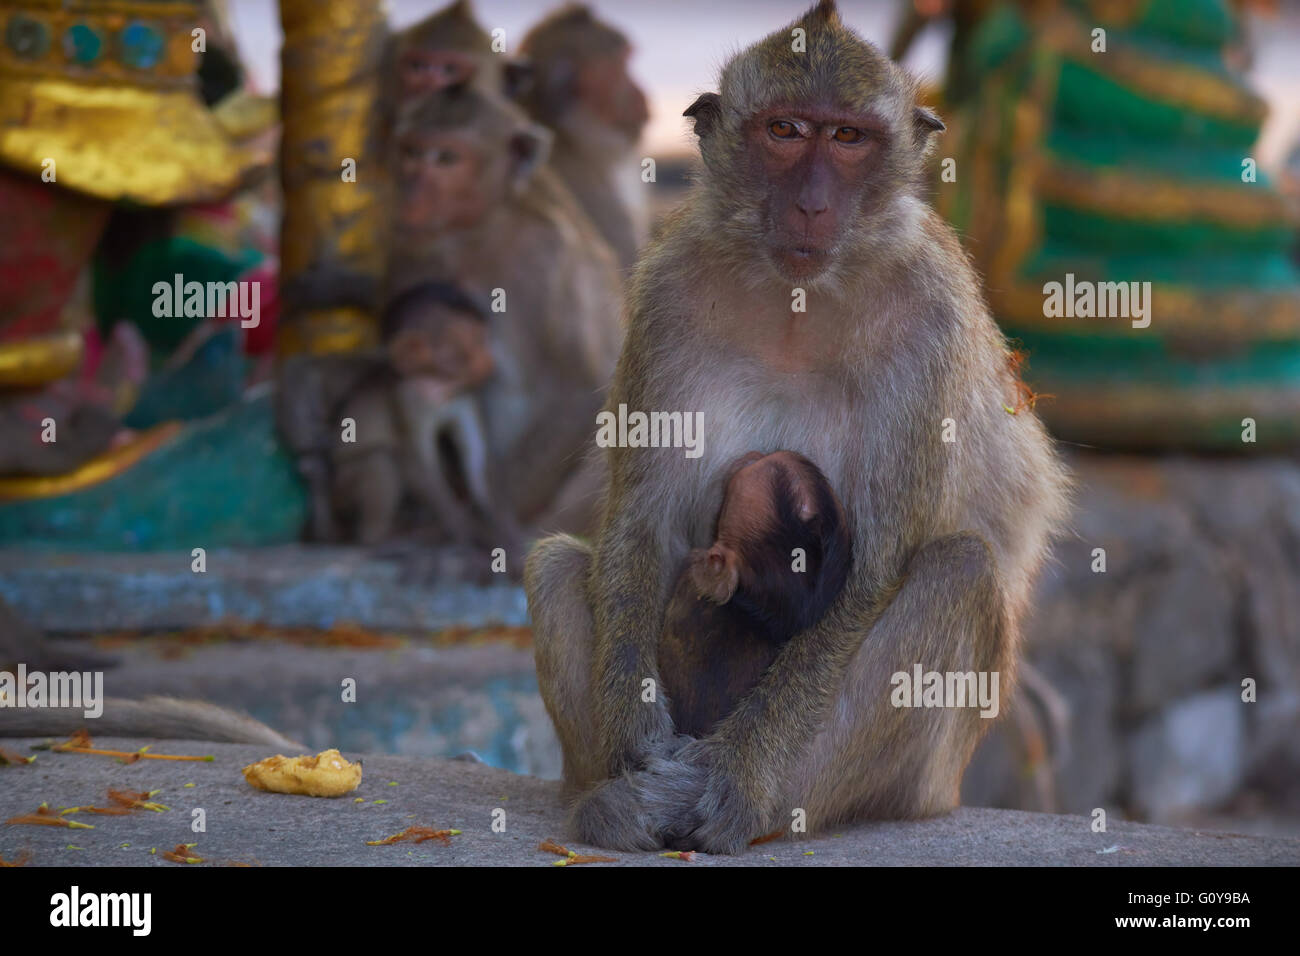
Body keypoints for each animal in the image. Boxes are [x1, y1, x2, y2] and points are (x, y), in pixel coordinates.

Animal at [385, 85, 624, 536]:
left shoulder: (544, 259)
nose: (411, 191)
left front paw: (499, 526)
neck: (479, 235)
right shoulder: (414, 251)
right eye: (410, 152)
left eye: (445, 158)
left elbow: (579, 385)